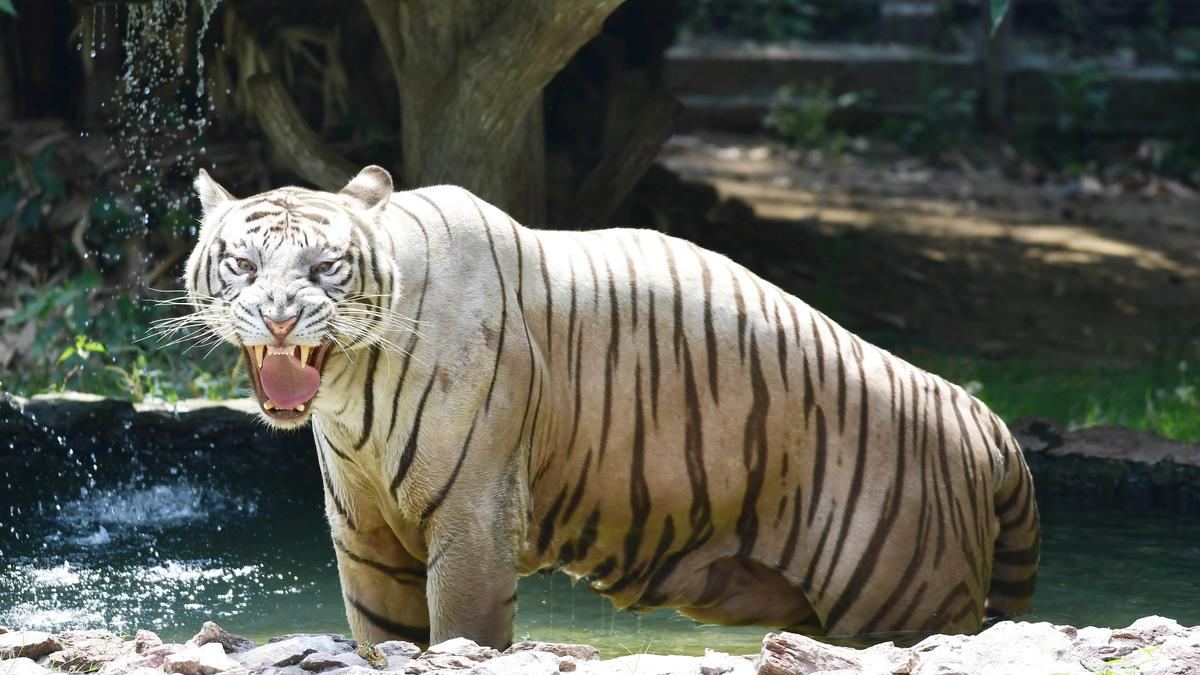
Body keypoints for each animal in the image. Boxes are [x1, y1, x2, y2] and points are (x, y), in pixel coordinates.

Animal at [183, 165, 1040, 650]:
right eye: (243, 263)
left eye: (325, 268)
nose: (281, 319)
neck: (350, 386)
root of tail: (982, 416)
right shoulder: (365, 534)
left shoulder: (472, 521)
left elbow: (460, 633)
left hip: (906, 593)